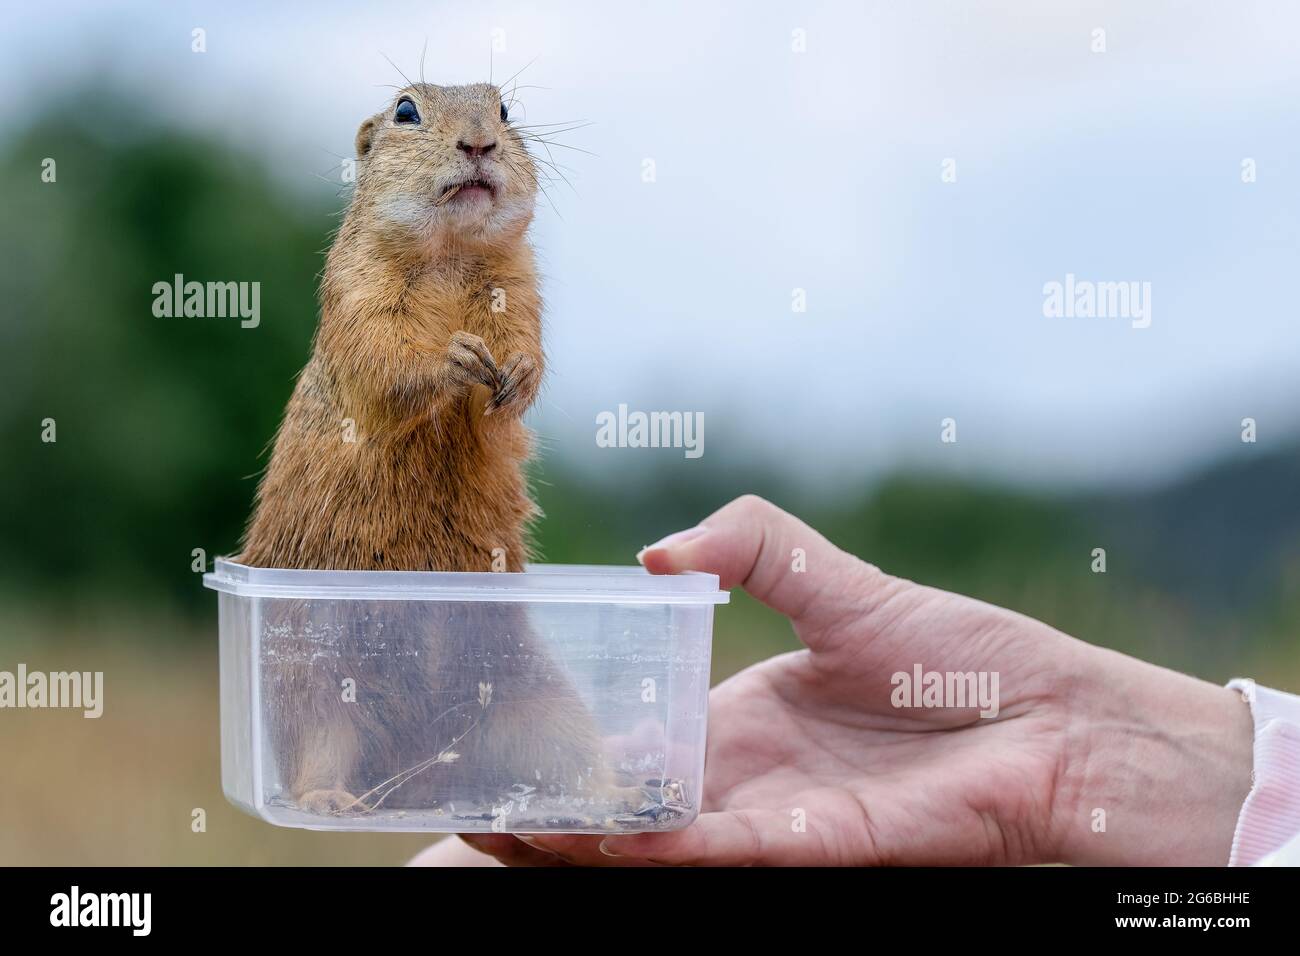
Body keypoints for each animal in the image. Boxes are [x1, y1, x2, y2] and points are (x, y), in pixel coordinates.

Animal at [236, 83, 619, 821]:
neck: (448, 253)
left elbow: (523, 340)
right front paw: (457, 359)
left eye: (505, 110)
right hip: (314, 692)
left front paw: (514, 372)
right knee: (314, 756)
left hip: (543, 702)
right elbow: (387, 361)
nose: (479, 142)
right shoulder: (358, 292)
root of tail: (418, 772)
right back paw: (331, 800)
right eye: (406, 111)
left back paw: (620, 793)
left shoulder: (520, 286)